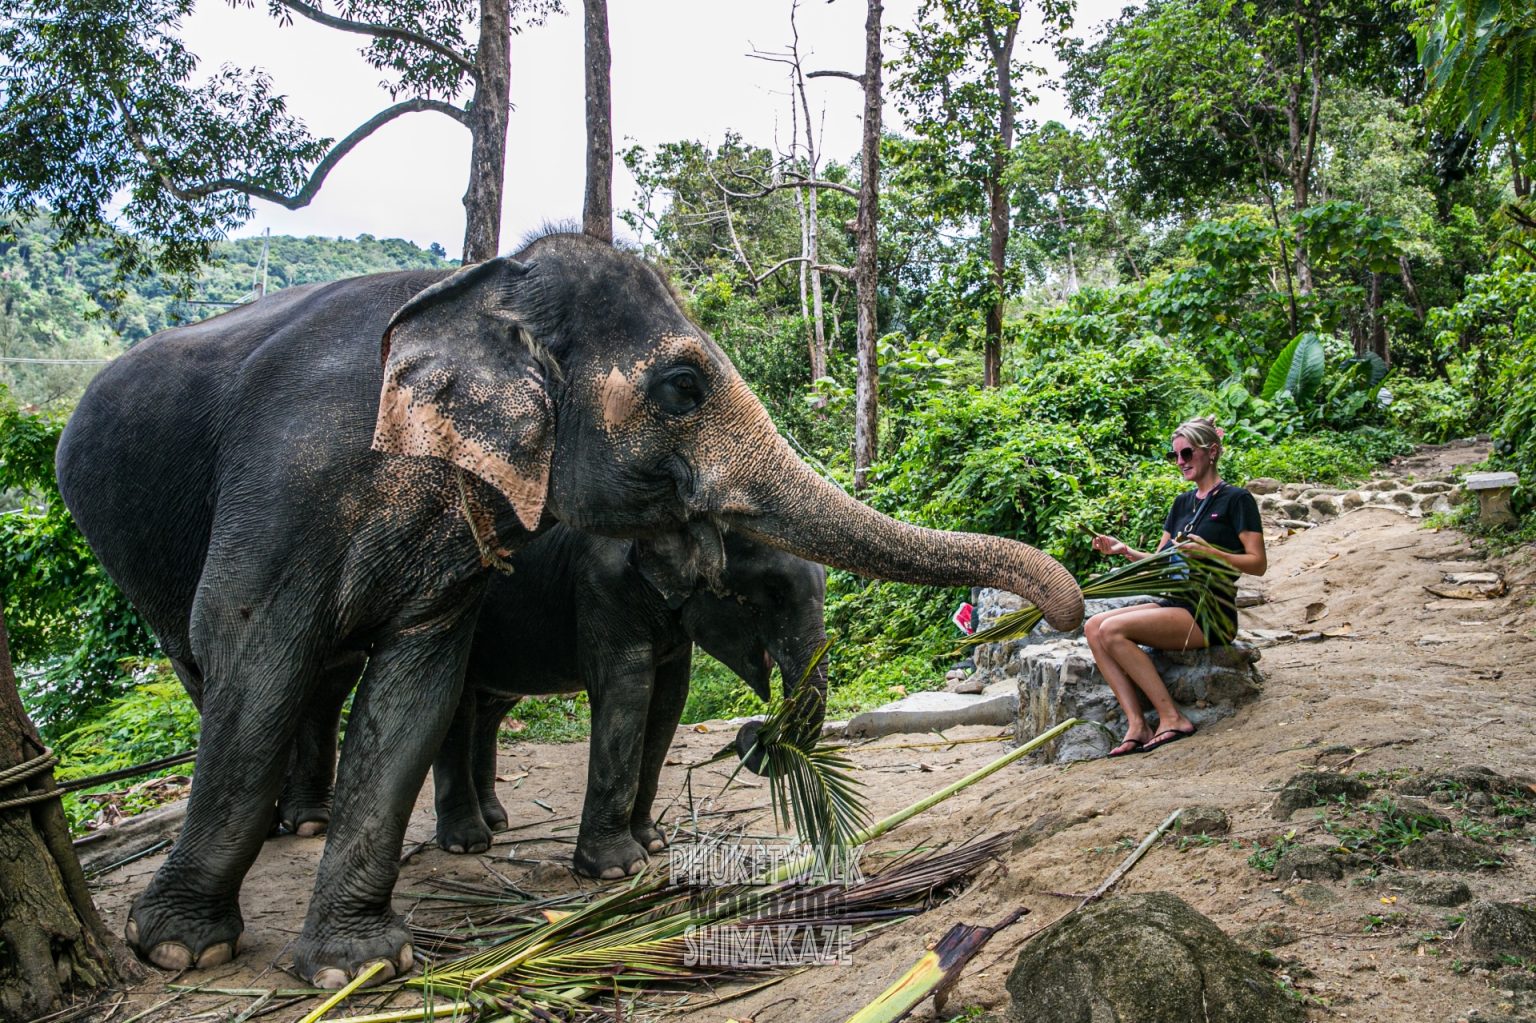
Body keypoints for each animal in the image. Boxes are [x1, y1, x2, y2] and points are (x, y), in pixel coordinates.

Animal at [428, 526, 828, 878]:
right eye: (774, 591)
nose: (761, 732)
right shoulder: (604, 584)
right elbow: (627, 690)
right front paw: (618, 868)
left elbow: (669, 700)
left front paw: (653, 843)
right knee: (456, 702)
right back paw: (468, 842)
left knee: (490, 708)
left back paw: (495, 822)